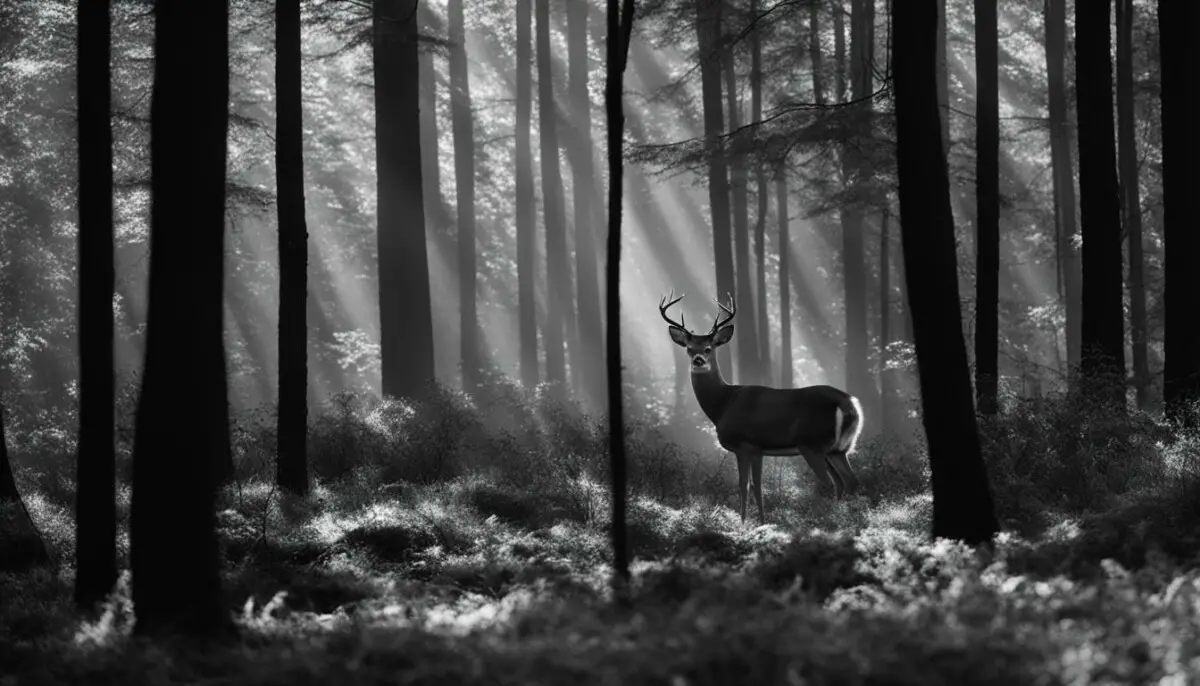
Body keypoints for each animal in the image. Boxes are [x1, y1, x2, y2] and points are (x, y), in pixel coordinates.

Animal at [659, 292, 863, 524]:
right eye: (689, 348)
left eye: (709, 348)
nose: (699, 360)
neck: (723, 404)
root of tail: (850, 404)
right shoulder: (758, 449)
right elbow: (756, 486)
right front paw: (761, 522)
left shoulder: (744, 444)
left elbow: (746, 486)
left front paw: (745, 523)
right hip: (837, 449)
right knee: (847, 481)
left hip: (812, 443)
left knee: (829, 484)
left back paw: (823, 522)